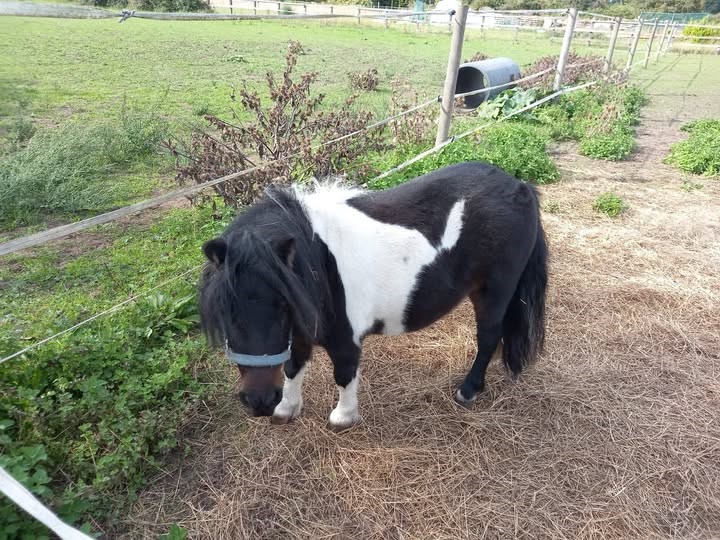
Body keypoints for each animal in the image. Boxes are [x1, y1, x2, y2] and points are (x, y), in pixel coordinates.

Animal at [199, 161, 548, 430]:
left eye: (282, 304)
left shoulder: (344, 337)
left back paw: (468, 391)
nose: (260, 402)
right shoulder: (298, 331)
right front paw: (287, 408)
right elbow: (293, 365)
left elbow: (344, 373)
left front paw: (342, 418)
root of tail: (520, 186)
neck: (321, 263)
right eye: (225, 310)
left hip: (495, 291)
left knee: (489, 337)